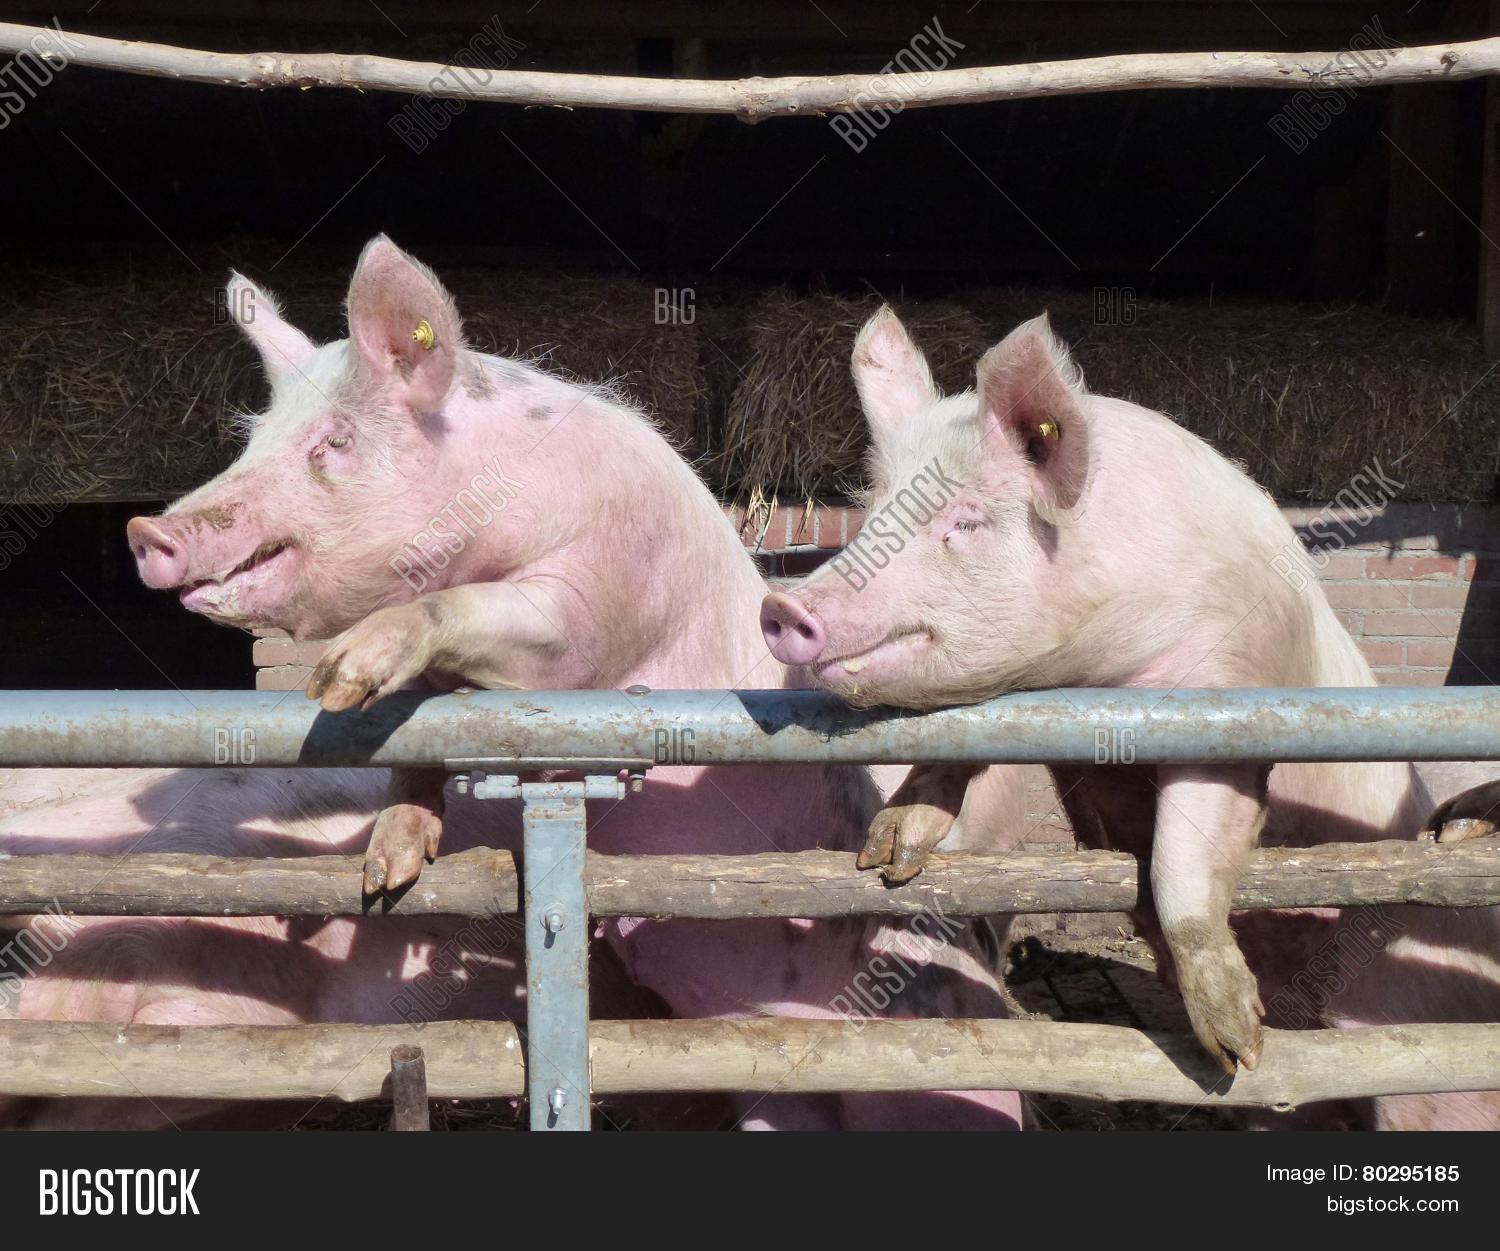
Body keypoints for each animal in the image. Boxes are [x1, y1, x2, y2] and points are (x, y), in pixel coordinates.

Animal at [103, 238, 1028, 1130]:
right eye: (254, 437)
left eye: (332, 442)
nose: (146, 529)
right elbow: (419, 743)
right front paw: (386, 871)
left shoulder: (596, 609)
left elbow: (481, 621)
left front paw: (343, 674)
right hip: (772, 1085)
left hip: (944, 1068)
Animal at [760, 307, 1500, 1128]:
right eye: (875, 513)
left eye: (966, 521)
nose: (783, 604)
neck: (1091, 670)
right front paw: (886, 853)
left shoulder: (1231, 699)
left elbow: (1182, 852)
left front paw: (1235, 1046)